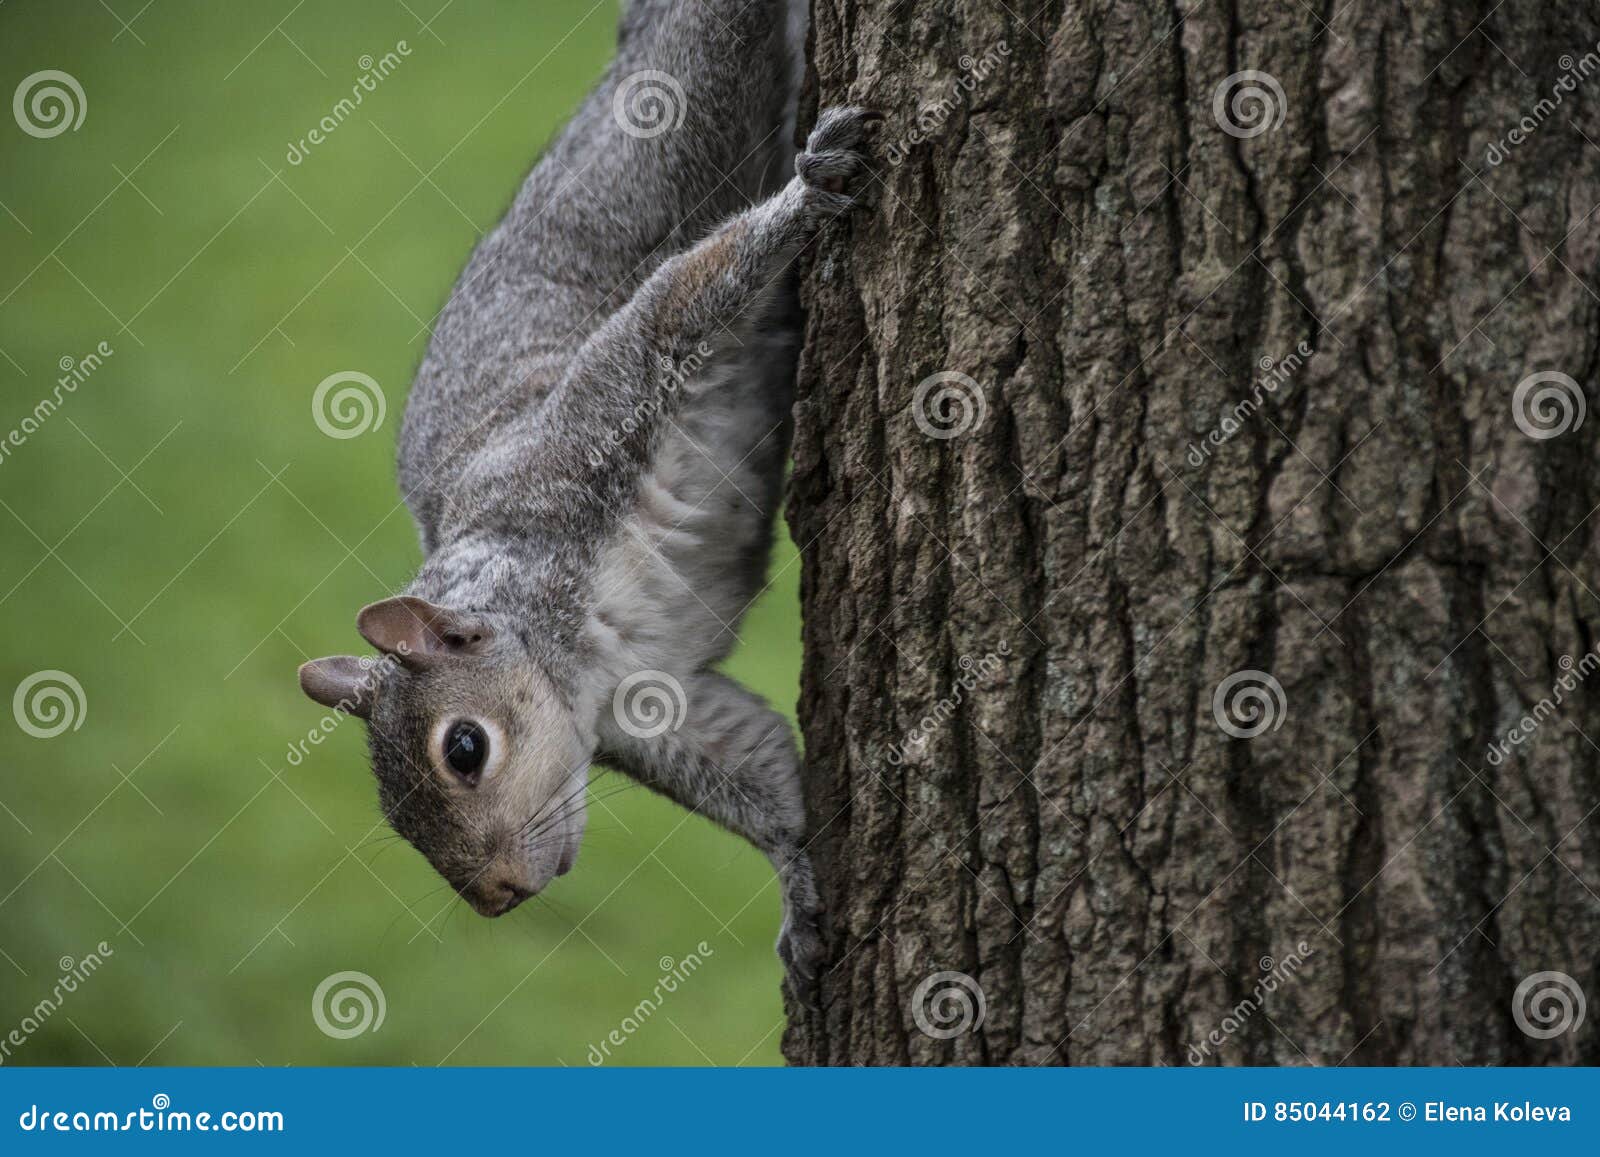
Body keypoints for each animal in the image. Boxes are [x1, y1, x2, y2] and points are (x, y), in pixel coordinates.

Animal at [296, 0, 876, 979]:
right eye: (393, 816)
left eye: (464, 748)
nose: (496, 897)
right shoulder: (653, 703)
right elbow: (759, 781)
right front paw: (799, 887)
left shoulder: (592, 423)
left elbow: (688, 293)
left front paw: (807, 198)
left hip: (695, 88)